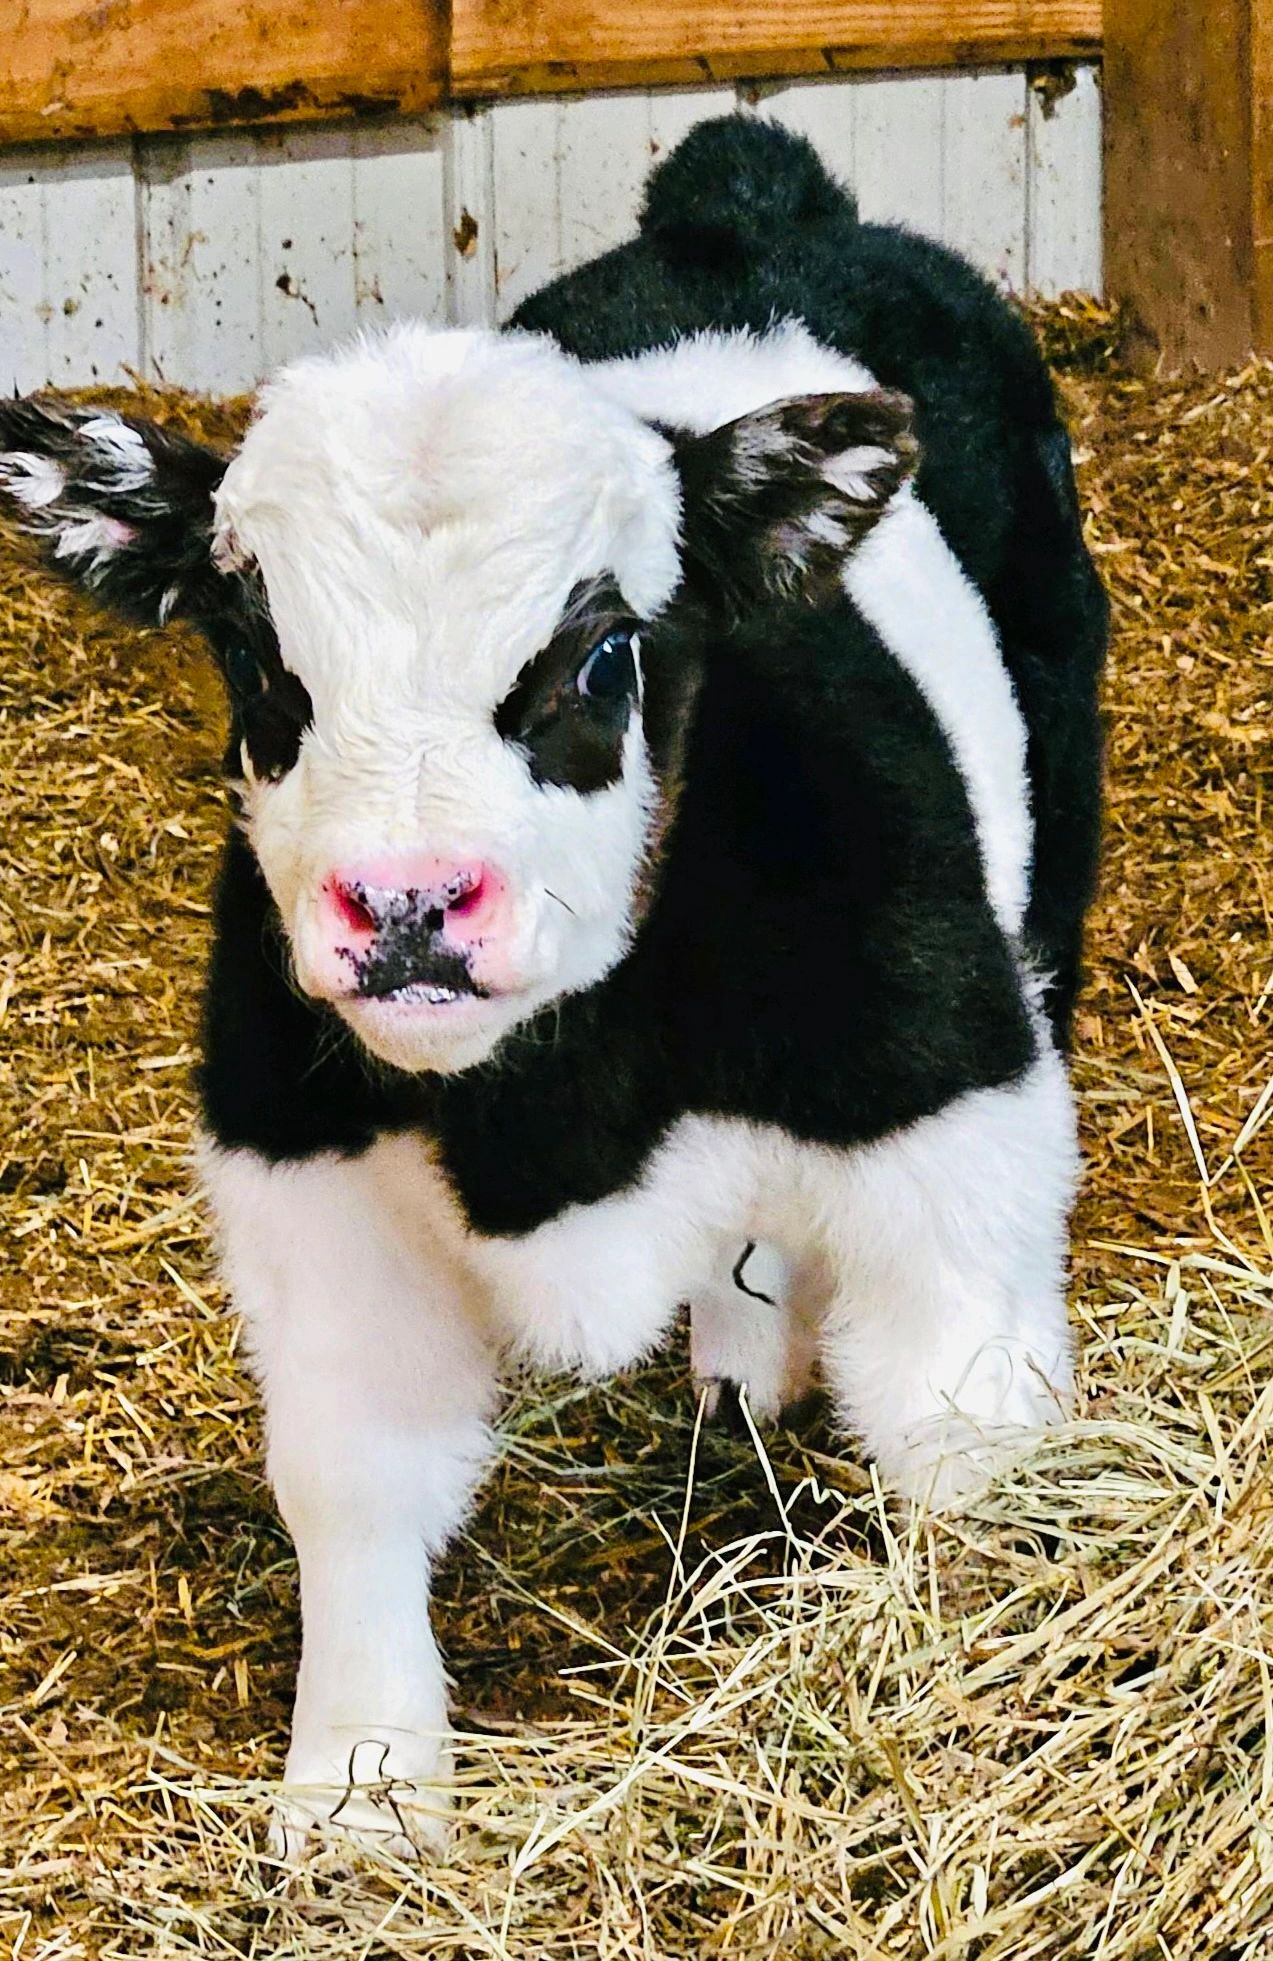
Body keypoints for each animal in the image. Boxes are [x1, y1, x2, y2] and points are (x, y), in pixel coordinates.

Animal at [0, 115, 1106, 1857]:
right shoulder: (304, 1186)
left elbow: (962, 1430)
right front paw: (361, 1792)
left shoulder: (946, 1119)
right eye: (260, 664)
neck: (562, 1125)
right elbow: (354, 1475)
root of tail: (749, 193)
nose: (403, 902)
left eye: (599, 657)